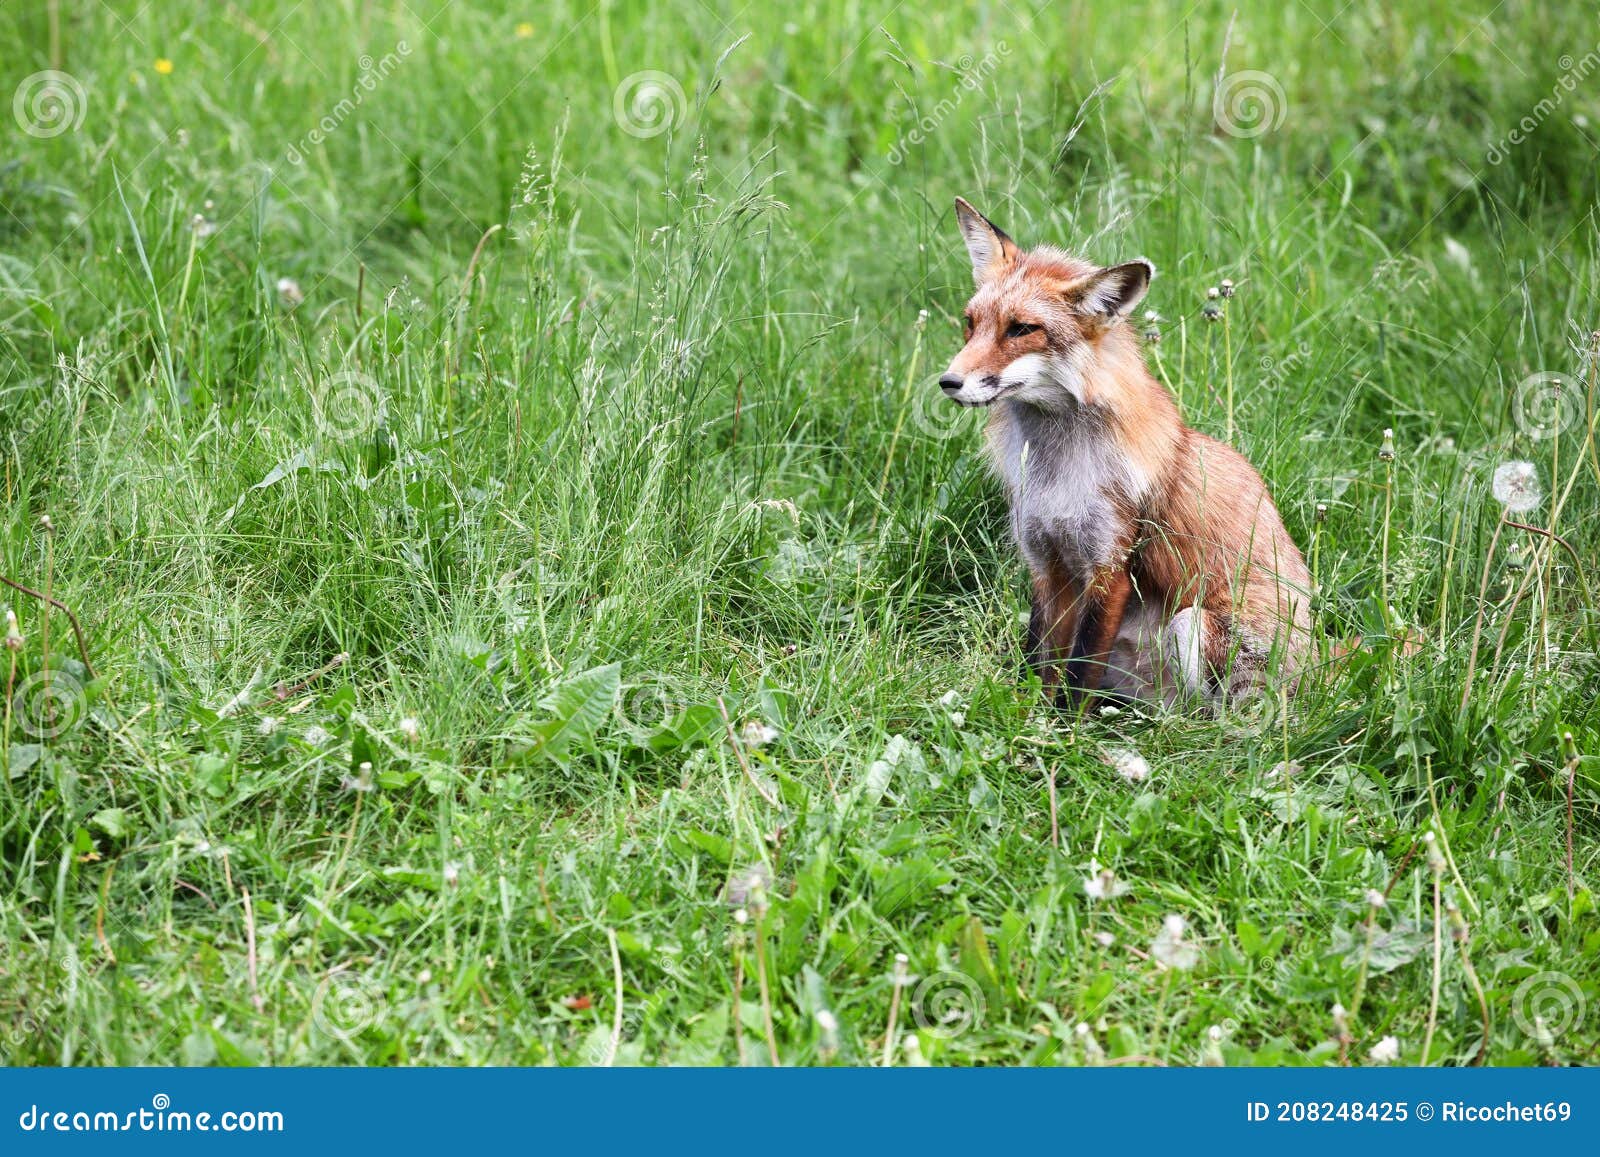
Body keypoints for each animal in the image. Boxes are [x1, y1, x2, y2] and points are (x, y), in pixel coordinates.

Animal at [940, 197, 1312, 706]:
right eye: (970, 323)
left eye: (1021, 329)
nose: (948, 381)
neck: (1057, 474)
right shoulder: (1045, 562)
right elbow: (1038, 660)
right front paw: (1027, 712)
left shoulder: (1110, 568)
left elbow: (1078, 672)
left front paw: (1064, 724)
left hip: (1193, 627)